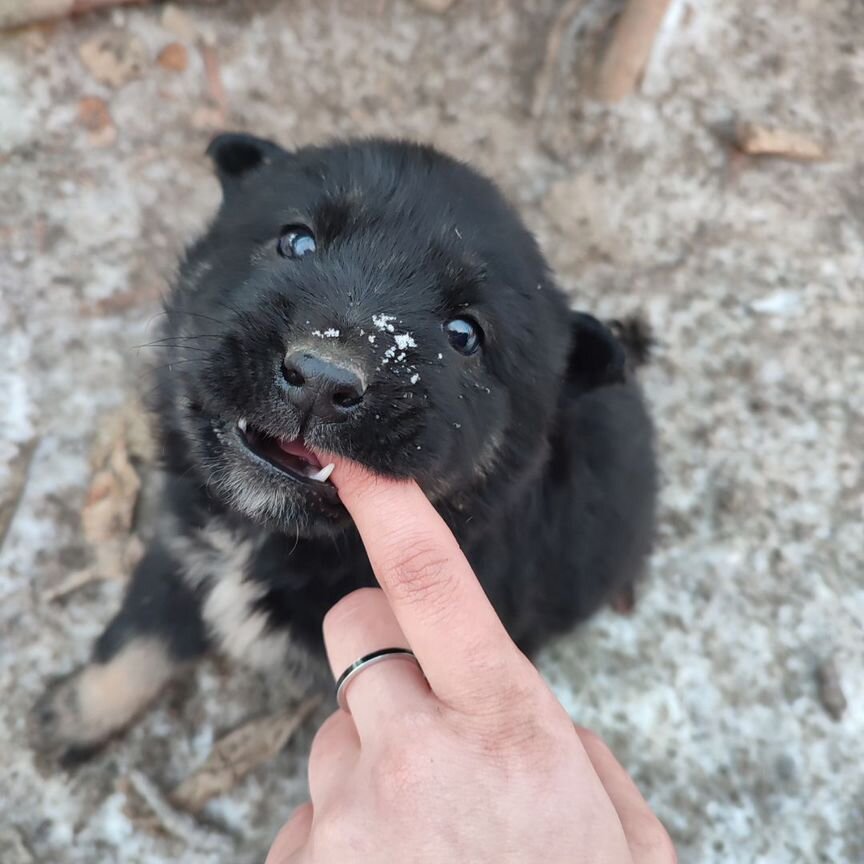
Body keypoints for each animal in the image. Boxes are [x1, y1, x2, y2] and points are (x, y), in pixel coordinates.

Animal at [32, 135, 656, 756]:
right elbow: (141, 628)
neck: (270, 541)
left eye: (465, 335)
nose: (321, 378)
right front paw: (79, 710)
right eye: (297, 241)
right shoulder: (182, 544)